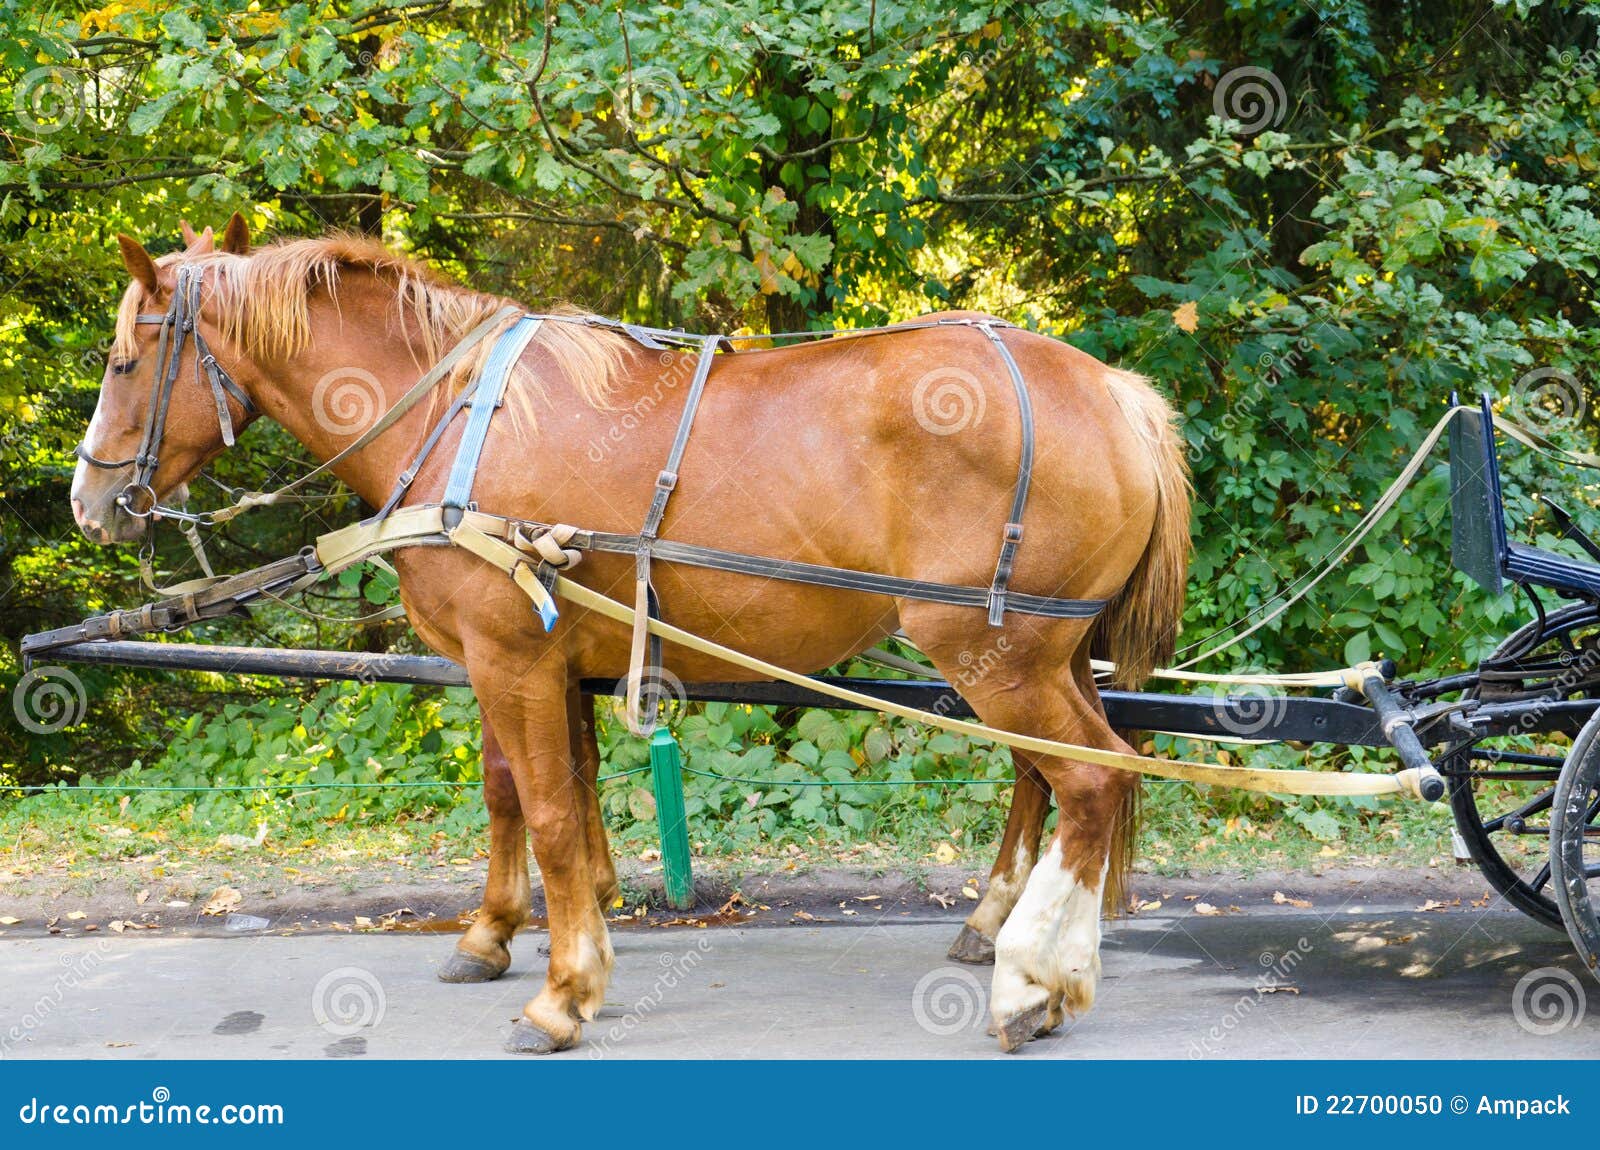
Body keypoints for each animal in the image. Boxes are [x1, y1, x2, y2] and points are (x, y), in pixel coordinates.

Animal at [71, 216, 1191, 1053]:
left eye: (125, 360)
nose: (90, 502)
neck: (452, 414)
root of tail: (1115, 393)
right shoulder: (513, 659)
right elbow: (515, 793)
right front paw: (495, 934)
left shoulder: (514, 657)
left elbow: (553, 816)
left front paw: (565, 990)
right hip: (1045, 655)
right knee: (1076, 773)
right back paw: (1036, 952)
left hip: (994, 653)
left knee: (1088, 780)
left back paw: (1028, 982)